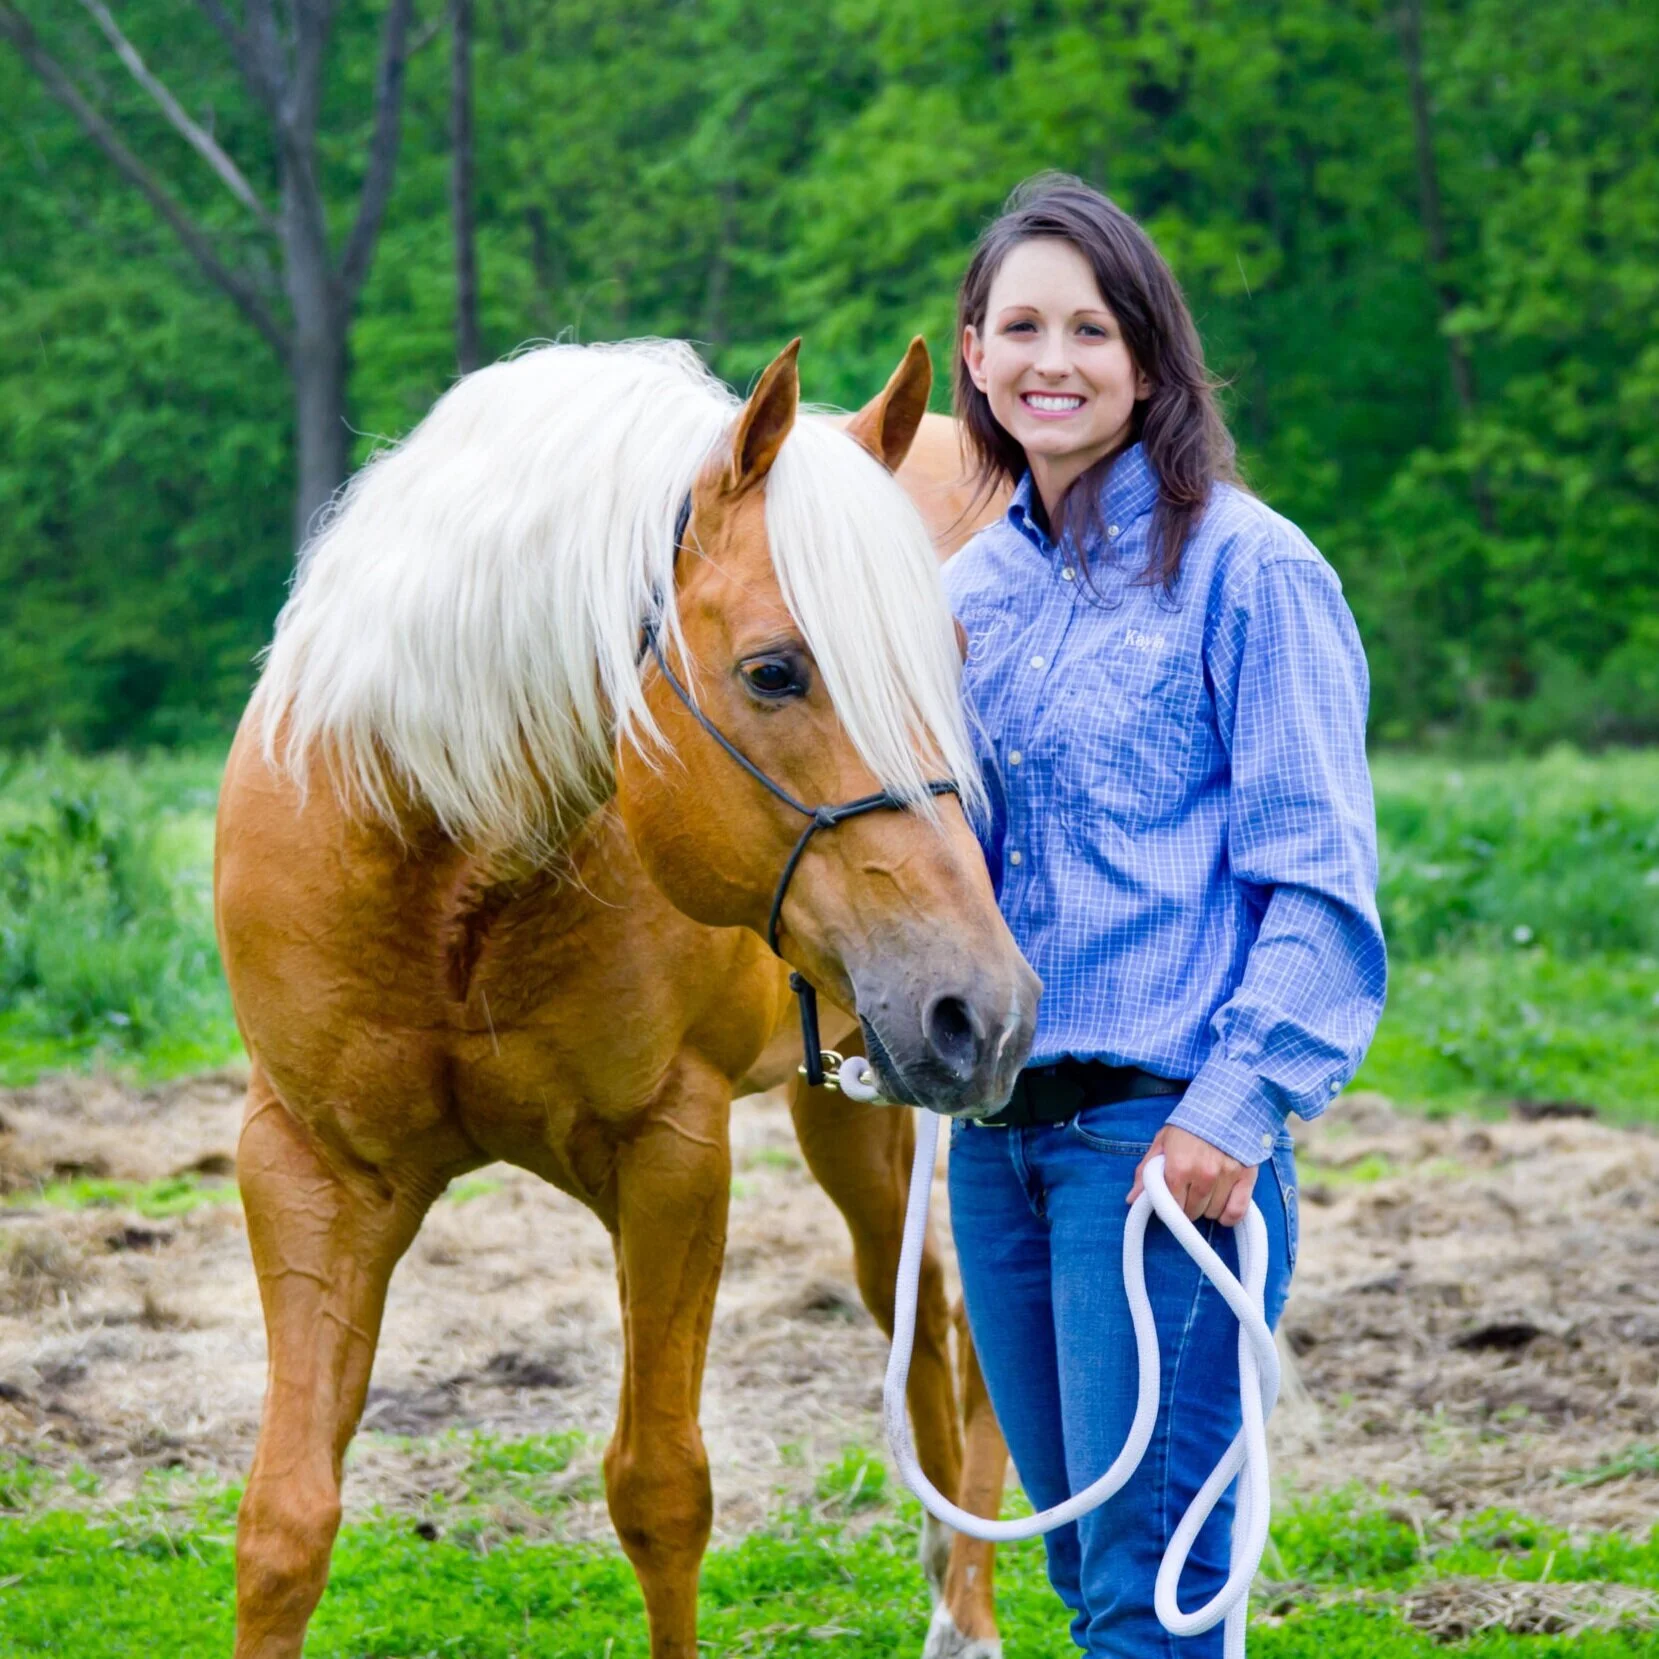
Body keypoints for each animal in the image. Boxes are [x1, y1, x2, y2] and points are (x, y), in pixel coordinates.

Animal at [214, 334, 1040, 1658]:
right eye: (773, 671)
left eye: (957, 660)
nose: (988, 1008)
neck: (445, 861)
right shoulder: (306, 1168)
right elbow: (285, 1523)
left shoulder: (669, 1158)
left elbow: (660, 1492)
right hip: (856, 1096)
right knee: (919, 1315)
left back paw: (967, 1609)